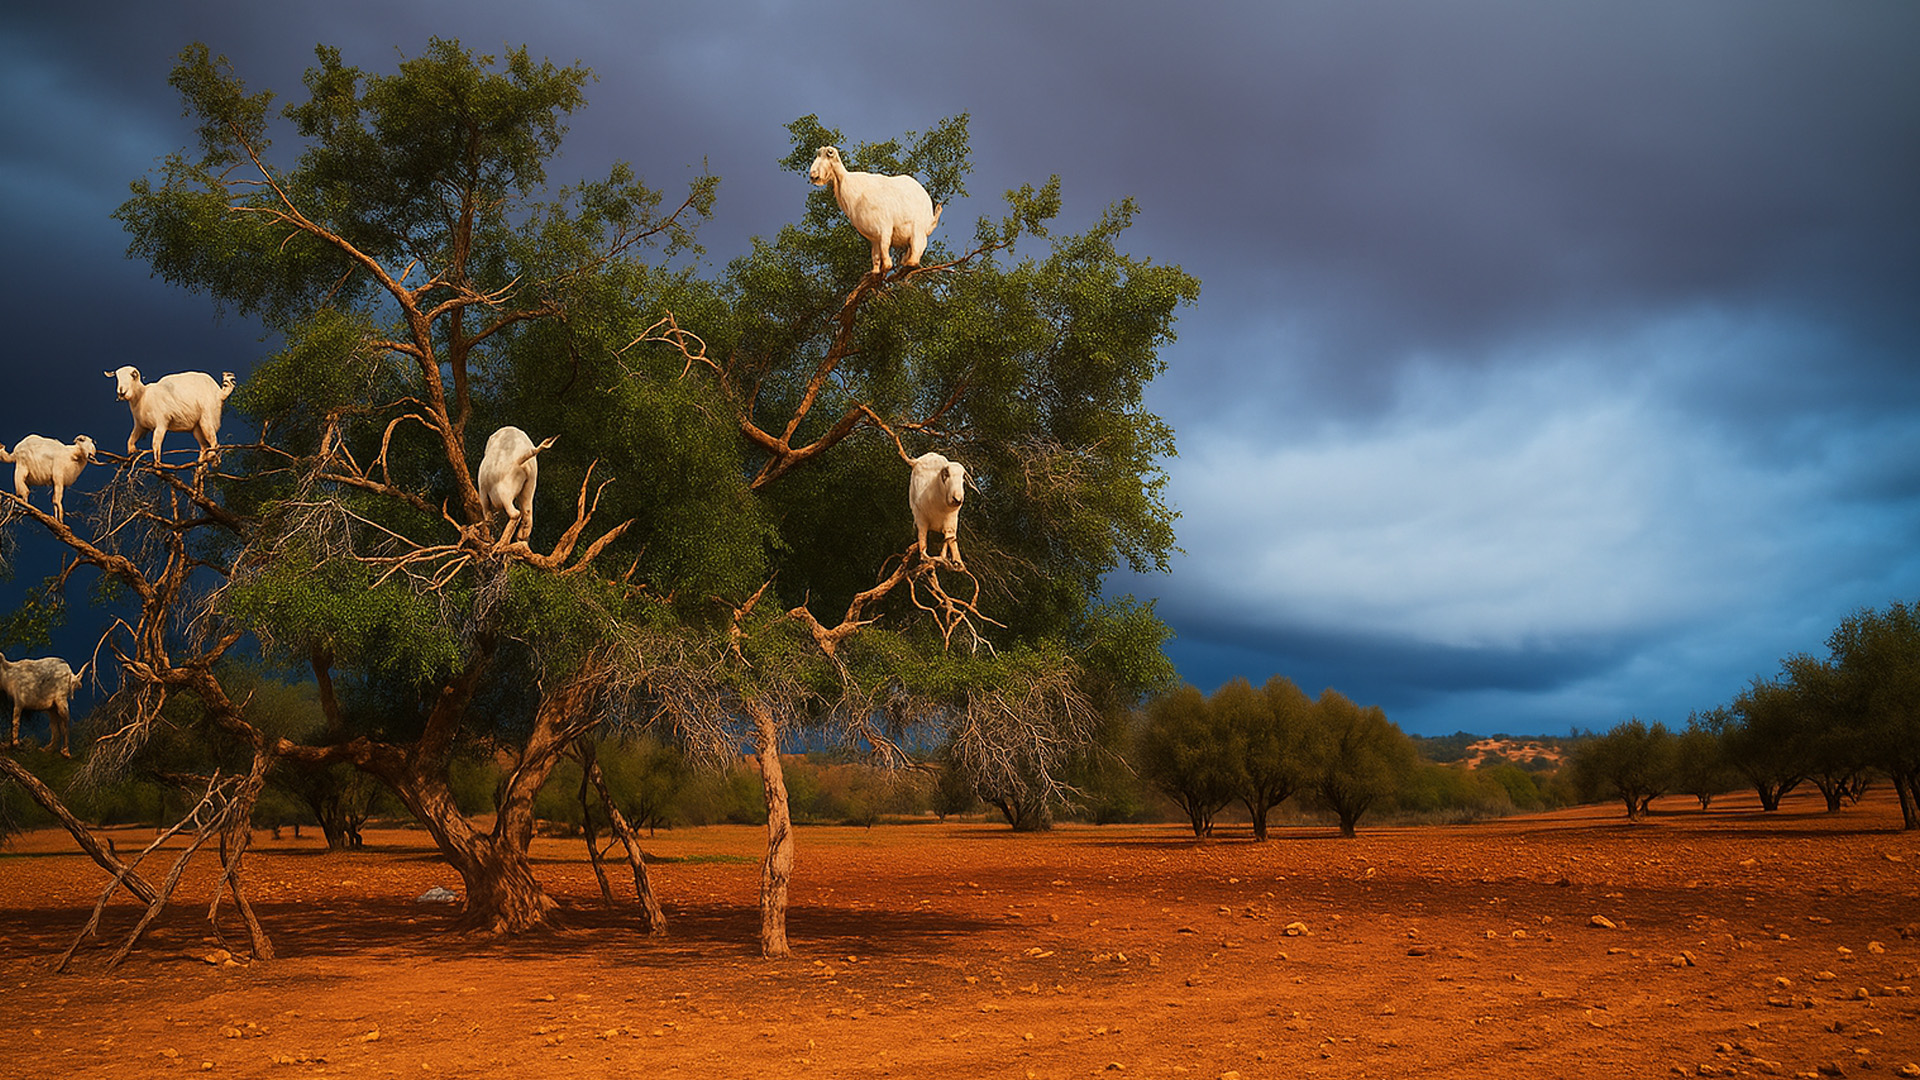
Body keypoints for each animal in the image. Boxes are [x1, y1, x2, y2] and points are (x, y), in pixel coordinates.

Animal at [105, 366, 237, 465]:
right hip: (196, 428)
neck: (143, 397)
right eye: (117, 377)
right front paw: (132, 452)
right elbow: (130, 440)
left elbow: (156, 445)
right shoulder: (139, 425)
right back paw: (201, 461)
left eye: (133, 376)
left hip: (207, 418)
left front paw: (157, 464)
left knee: (214, 441)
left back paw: (211, 457)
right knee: (204, 446)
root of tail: (219, 393)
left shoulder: (161, 424)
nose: (121, 392)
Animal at [809, 145, 943, 275]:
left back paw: (909, 263)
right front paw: (874, 272)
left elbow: (885, 248)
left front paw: (887, 266)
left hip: (918, 229)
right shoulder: (874, 237)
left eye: (829, 153)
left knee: (917, 248)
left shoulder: (885, 226)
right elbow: (875, 255)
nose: (813, 176)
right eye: (818, 154)